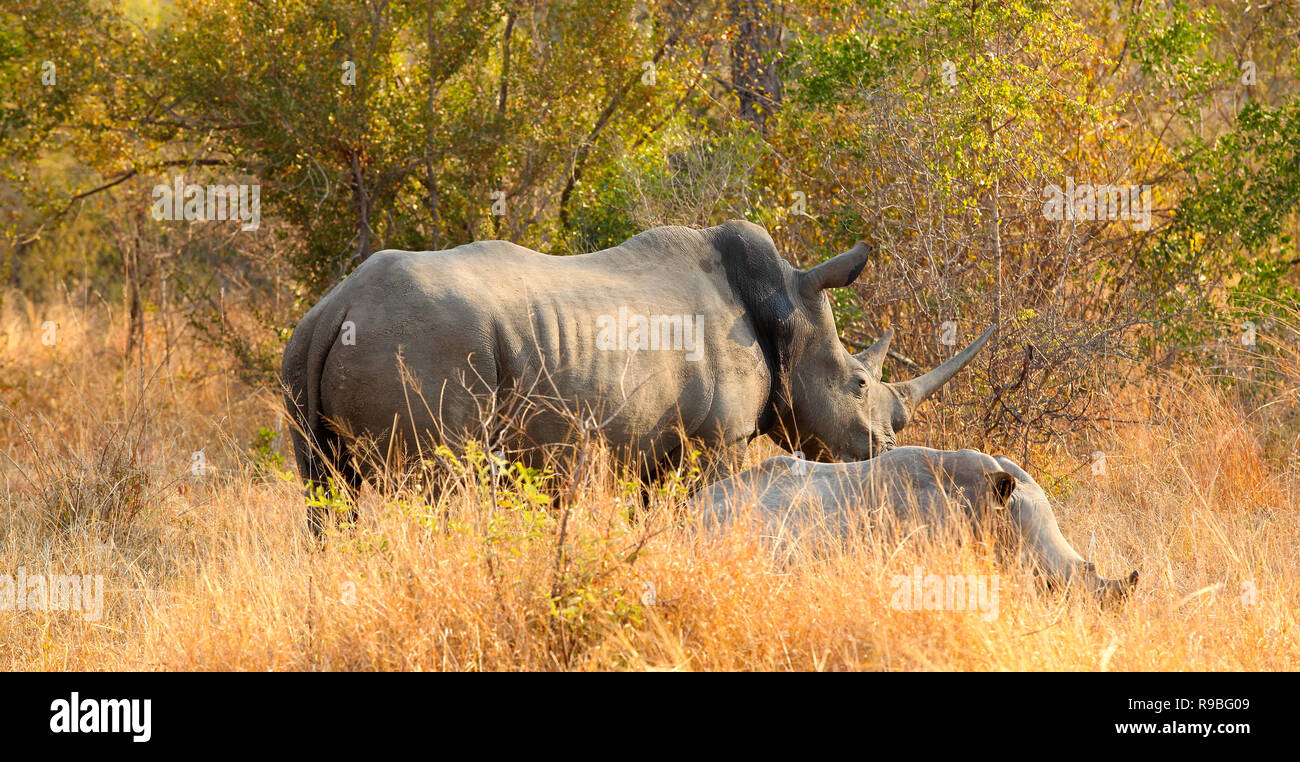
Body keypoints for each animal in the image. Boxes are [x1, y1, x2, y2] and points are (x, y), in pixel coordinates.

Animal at [281, 220, 992, 533]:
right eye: (858, 385)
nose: (886, 447)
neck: (785, 307)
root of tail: (337, 308)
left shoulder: (653, 440)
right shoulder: (717, 439)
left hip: (304, 352)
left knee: (327, 493)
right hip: (426, 343)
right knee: (441, 485)